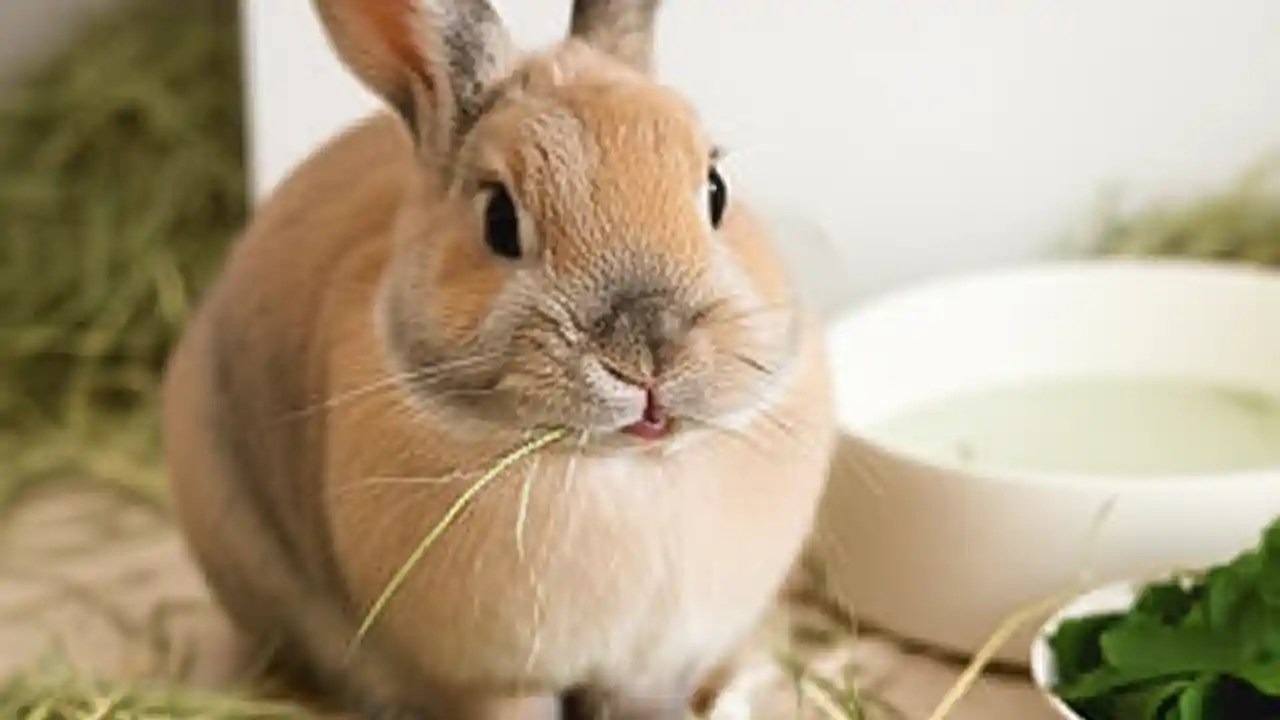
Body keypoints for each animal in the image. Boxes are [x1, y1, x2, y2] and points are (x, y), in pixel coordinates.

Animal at [162, 0, 835, 718]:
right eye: (499, 220)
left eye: (715, 189)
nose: (651, 351)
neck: (621, 468)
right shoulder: (494, 683)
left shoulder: (652, 665)